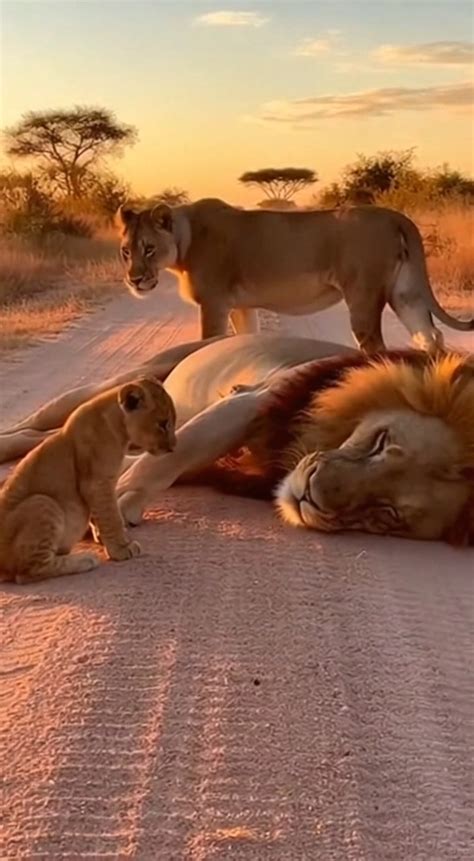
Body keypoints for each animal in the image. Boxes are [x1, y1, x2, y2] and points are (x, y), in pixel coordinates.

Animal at [0, 377, 176, 584]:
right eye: (163, 423)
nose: (174, 447)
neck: (117, 426)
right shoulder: (97, 482)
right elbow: (111, 515)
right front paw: (121, 548)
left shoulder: (98, 486)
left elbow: (100, 515)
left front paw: (102, 537)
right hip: (43, 502)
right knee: (28, 572)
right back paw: (85, 560)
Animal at [1, 335, 472, 546]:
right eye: (379, 441)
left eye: (387, 514)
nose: (310, 496)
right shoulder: (253, 399)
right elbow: (170, 458)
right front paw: (116, 505)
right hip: (126, 380)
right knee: (37, 425)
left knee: (45, 438)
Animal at [116, 197, 473, 353]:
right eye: (126, 251)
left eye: (149, 249)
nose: (134, 280)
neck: (184, 240)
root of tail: (396, 215)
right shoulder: (241, 306)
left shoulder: (213, 304)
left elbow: (207, 343)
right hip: (405, 293)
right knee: (430, 336)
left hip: (364, 299)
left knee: (378, 349)